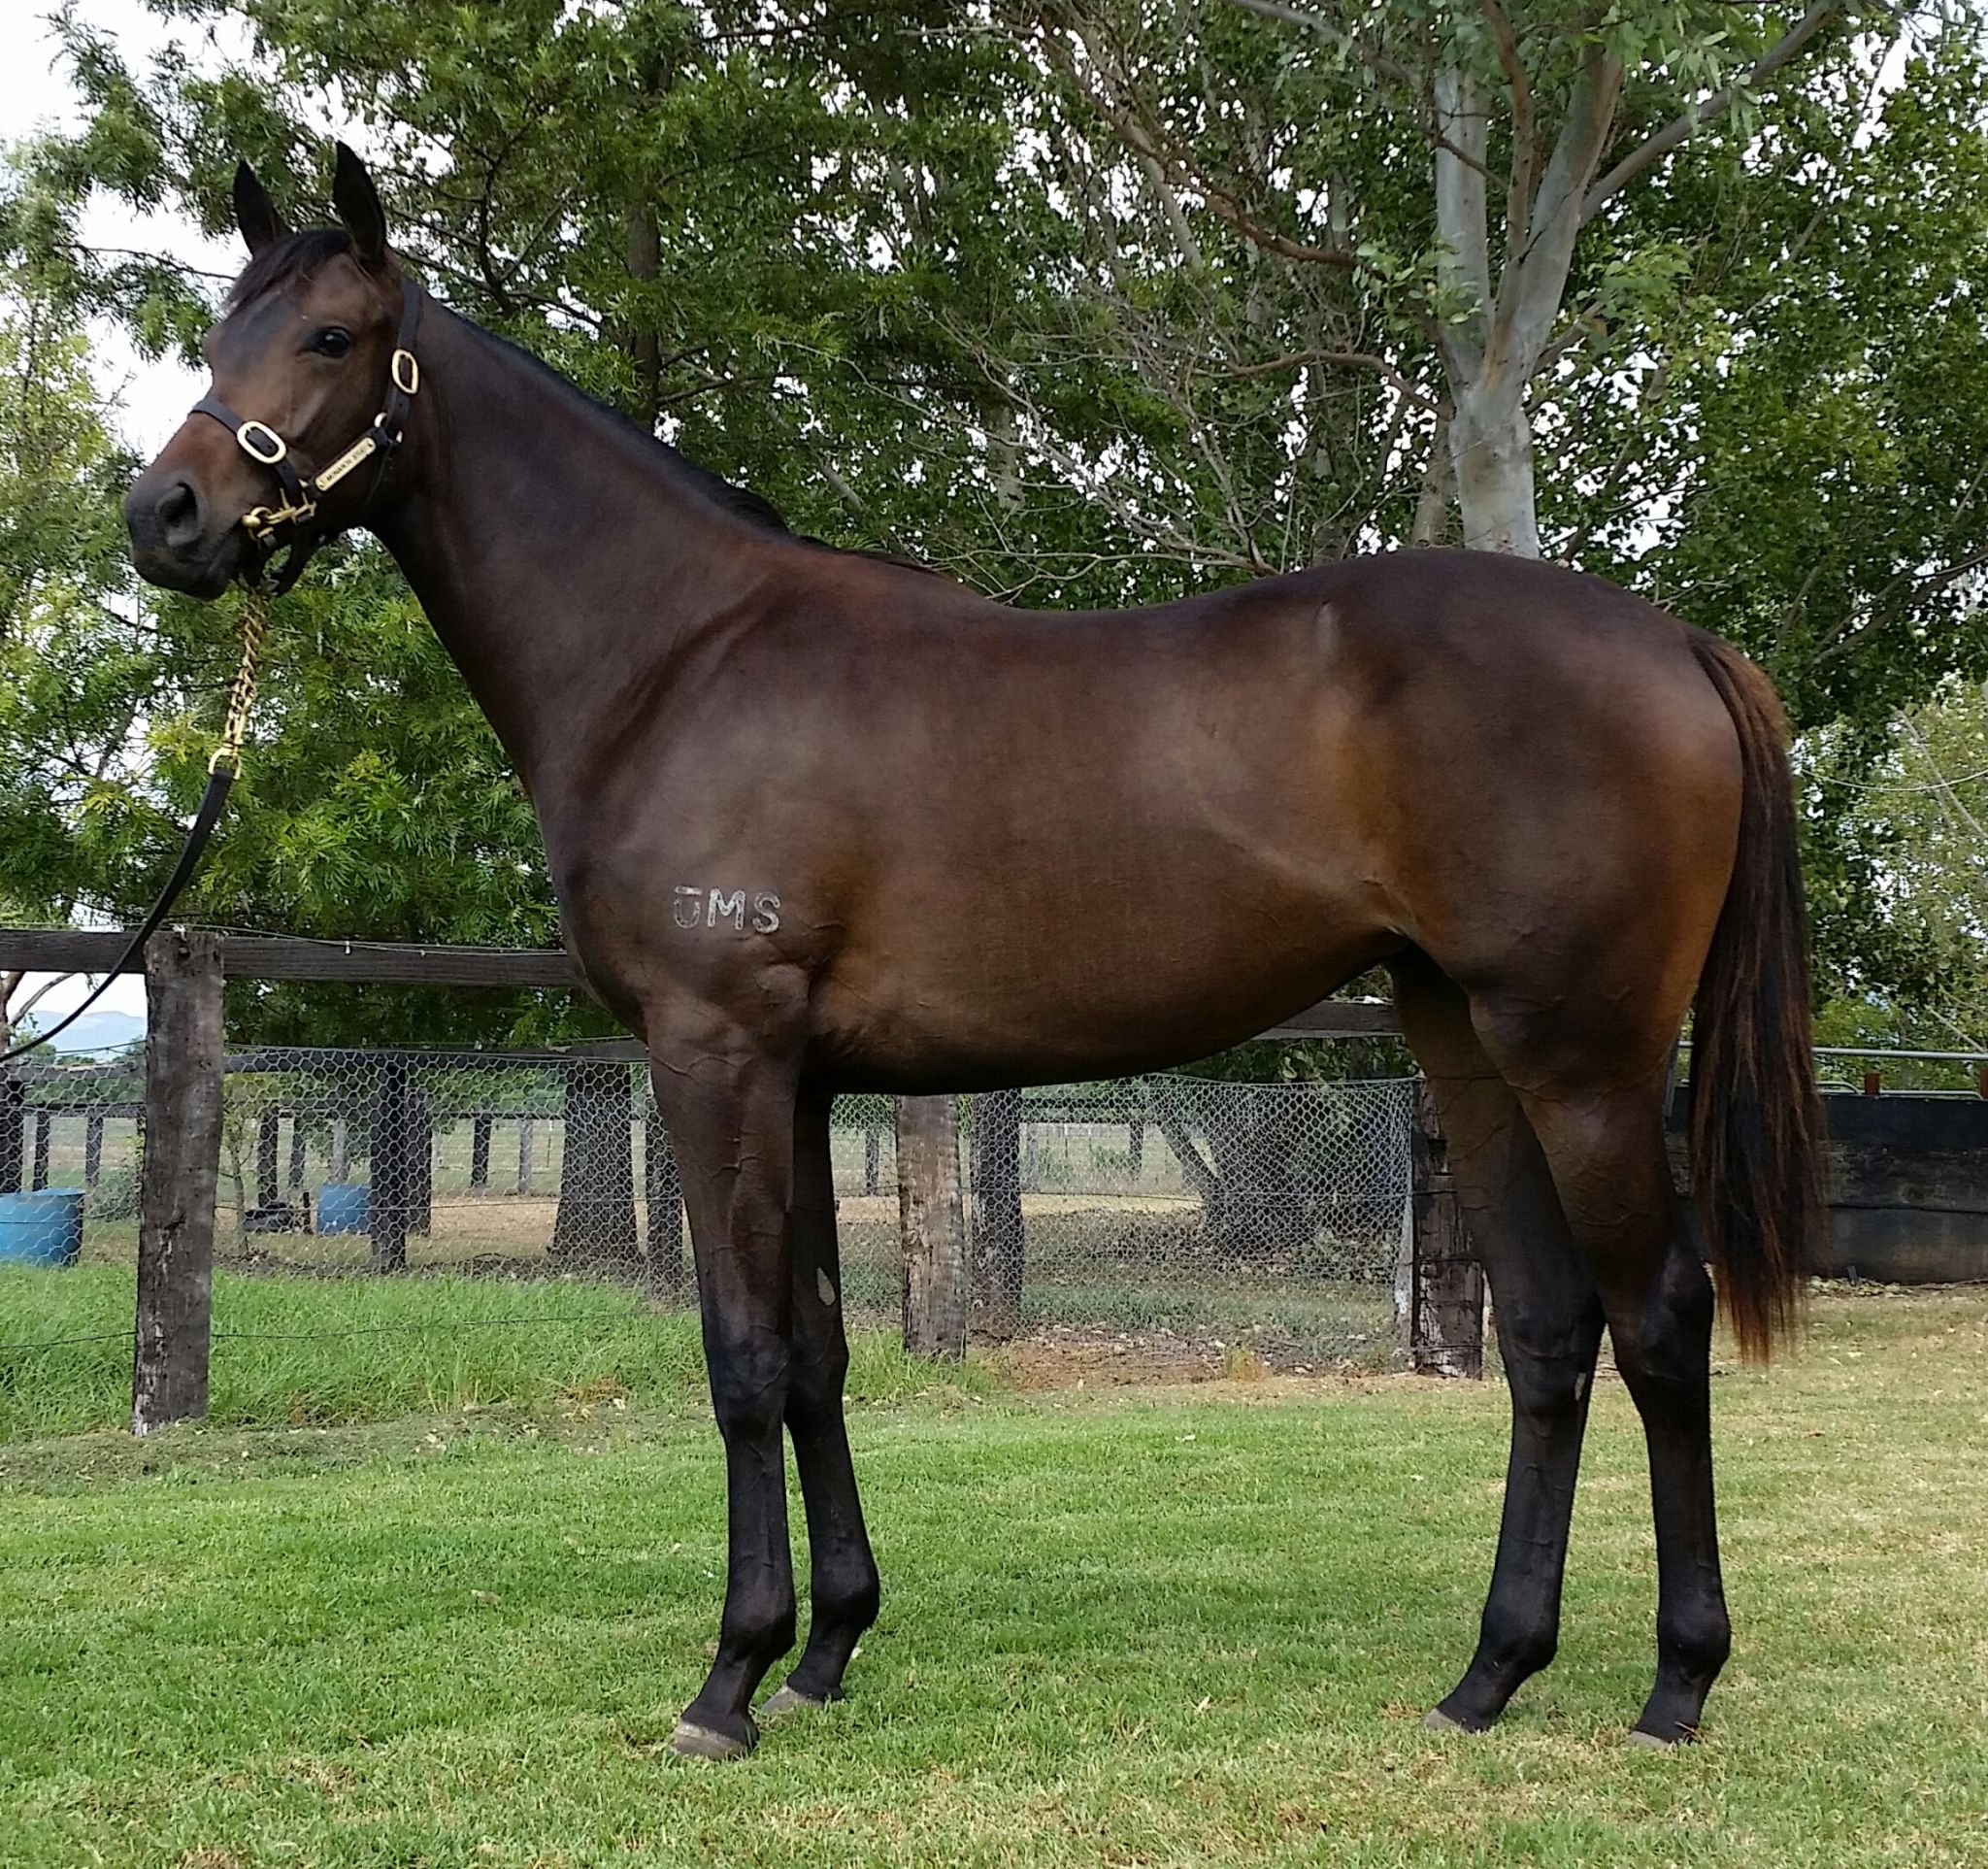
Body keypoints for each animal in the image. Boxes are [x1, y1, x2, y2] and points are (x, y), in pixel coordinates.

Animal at [124, 145, 1821, 1760]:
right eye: (217, 335)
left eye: (332, 334)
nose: (165, 517)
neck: (675, 656)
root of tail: (1674, 643)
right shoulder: (802, 1081)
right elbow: (816, 1351)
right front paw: (825, 1648)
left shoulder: (715, 1051)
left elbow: (743, 1357)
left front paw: (729, 1679)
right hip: (1466, 1042)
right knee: (1546, 1331)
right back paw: (1490, 1674)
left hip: (1581, 1055)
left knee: (1659, 1319)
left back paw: (1676, 1681)